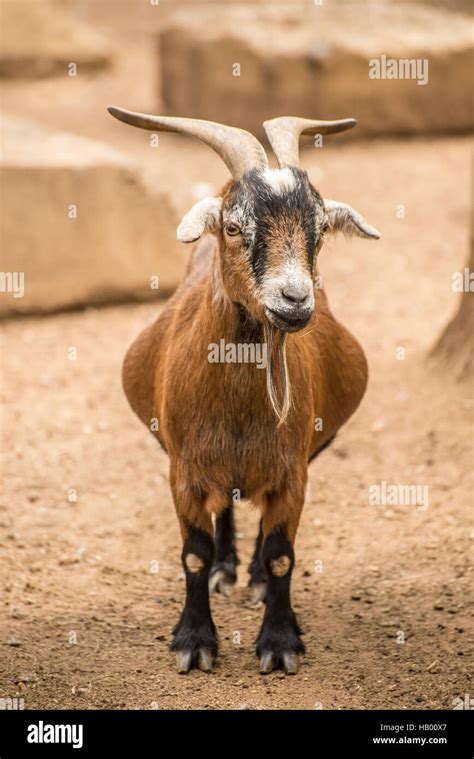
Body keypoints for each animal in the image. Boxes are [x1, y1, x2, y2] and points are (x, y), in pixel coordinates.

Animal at [108, 107, 380, 675]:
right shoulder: (184, 470)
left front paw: (279, 641)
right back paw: (226, 568)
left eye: (320, 229)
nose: (295, 299)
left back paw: (248, 574)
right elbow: (193, 553)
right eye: (234, 227)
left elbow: (281, 556)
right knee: (226, 507)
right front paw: (194, 642)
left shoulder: (293, 472)